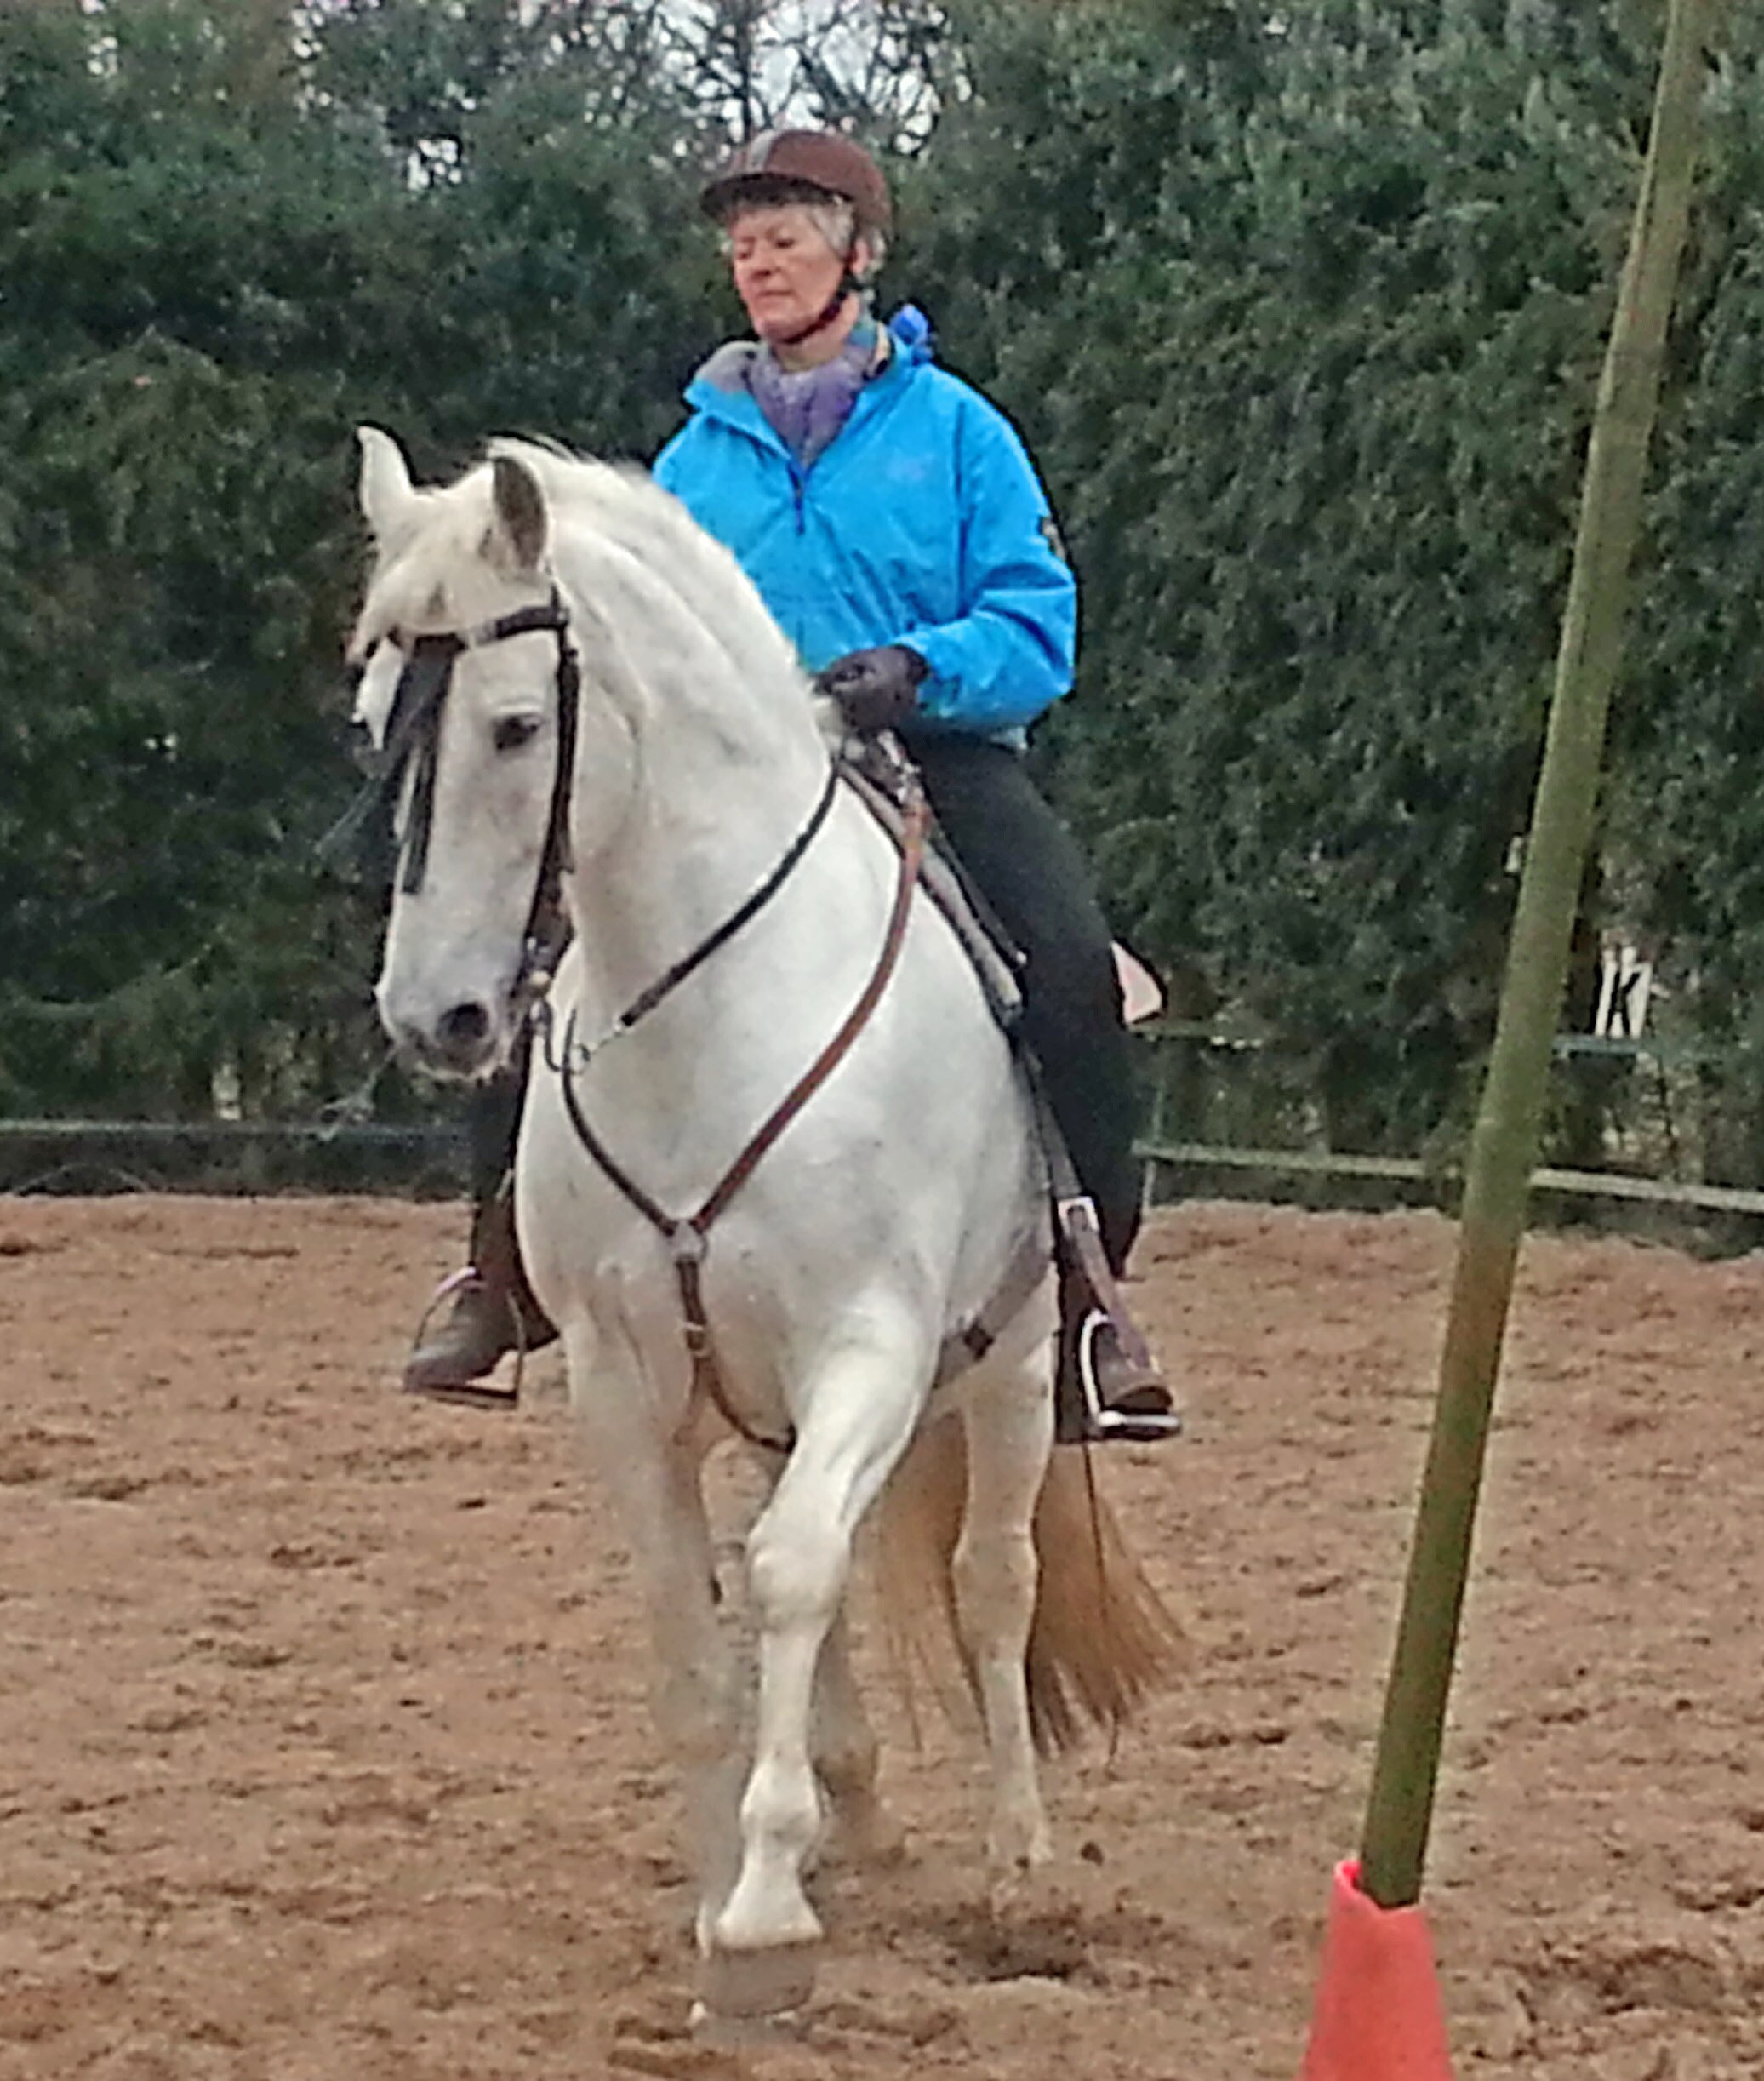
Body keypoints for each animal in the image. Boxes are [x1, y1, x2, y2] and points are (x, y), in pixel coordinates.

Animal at [347, 425, 1179, 2025]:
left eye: (511, 729)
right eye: (372, 726)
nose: (438, 1018)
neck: (714, 1003)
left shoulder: (870, 1347)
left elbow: (797, 1575)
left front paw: (761, 1917)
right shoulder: (623, 1381)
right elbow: (694, 1619)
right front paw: (721, 1883)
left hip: (1015, 1366)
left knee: (988, 1587)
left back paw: (1014, 1867)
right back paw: (854, 1814)